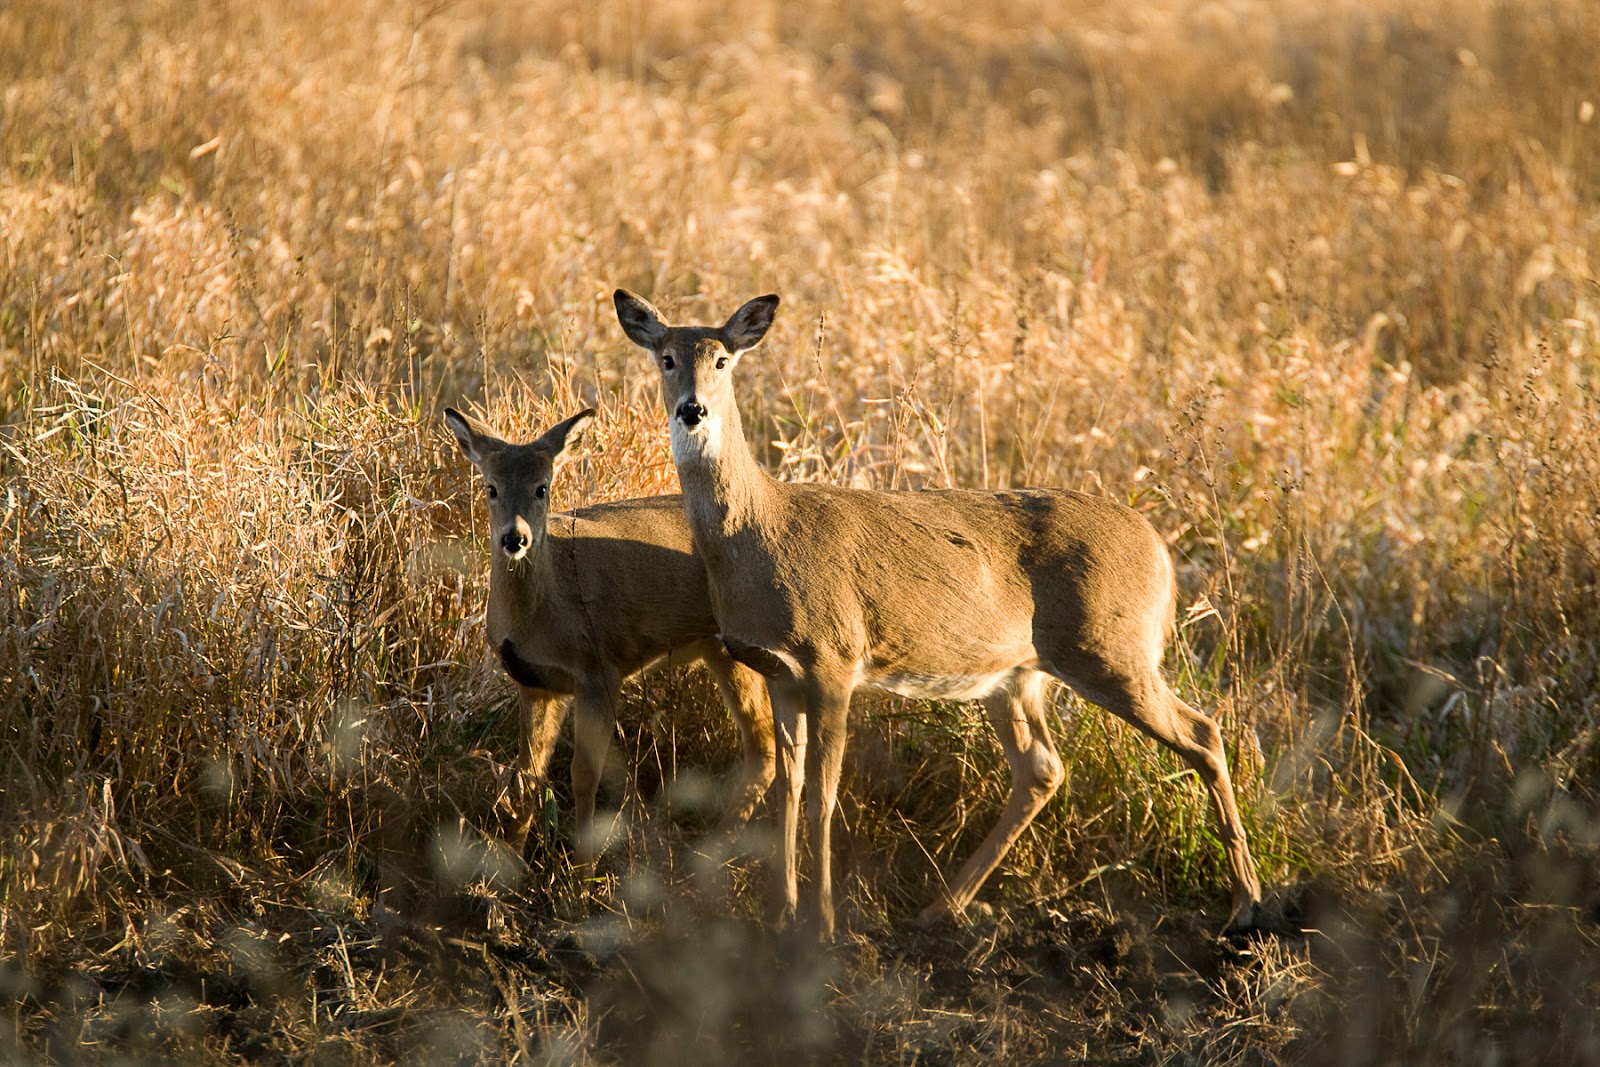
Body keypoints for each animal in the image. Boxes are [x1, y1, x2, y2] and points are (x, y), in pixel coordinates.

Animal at [444, 406, 775, 863]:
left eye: (542, 488)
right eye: (491, 488)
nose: (515, 538)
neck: (544, 617)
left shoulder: (600, 670)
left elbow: (584, 775)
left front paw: (582, 867)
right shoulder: (536, 684)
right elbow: (526, 775)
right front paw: (512, 859)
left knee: (766, 743)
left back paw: (716, 848)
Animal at [613, 289, 1264, 940]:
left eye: (722, 360)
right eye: (666, 358)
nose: (692, 410)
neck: (761, 531)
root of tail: (1160, 549)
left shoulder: (834, 658)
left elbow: (824, 794)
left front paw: (821, 924)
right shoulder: (778, 672)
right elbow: (788, 790)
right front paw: (780, 914)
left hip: (1110, 649)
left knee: (1203, 733)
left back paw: (1246, 903)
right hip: (1017, 675)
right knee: (1043, 768)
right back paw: (942, 907)